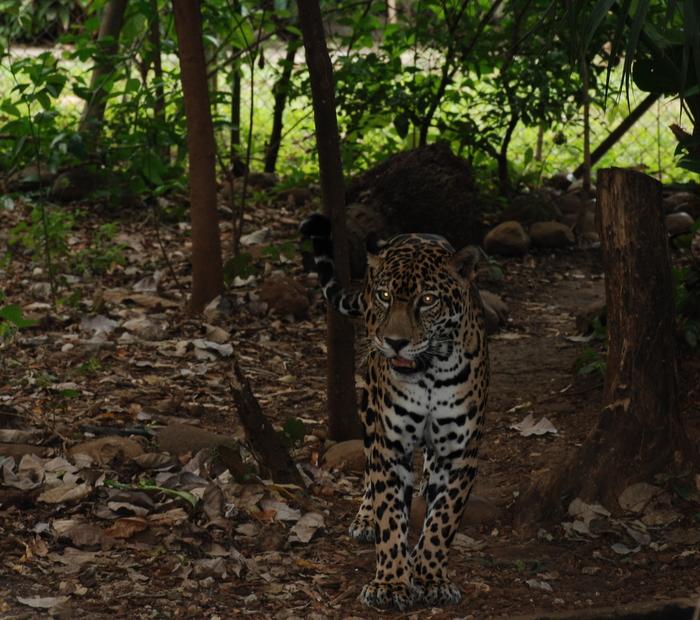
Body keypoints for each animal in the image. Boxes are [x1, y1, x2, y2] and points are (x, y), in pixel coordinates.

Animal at [300, 213, 489, 610]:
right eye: (385, 297)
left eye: (428, 300)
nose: (395, 342)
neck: (429, 372)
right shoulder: (390, 443)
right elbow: (389, 511)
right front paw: (390, 582)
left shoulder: (460, 453)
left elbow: (443, 520)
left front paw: (430, 575)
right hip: (370, 409)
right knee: (370, 470)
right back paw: (366, 519)